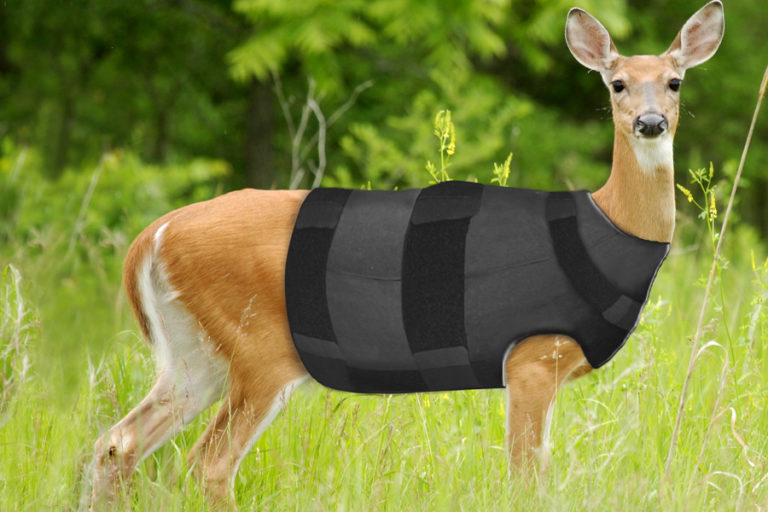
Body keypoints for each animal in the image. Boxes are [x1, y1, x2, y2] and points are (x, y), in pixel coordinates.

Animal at [90, 1, 724, 509]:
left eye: (674, 82)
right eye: (617, 83)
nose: (649, 122)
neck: (605, 224)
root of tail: (153, 236)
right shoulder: (531, 355)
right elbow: (526, 479)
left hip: (194, 352)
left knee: (117, 443)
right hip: (259, 348)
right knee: (208, 462)